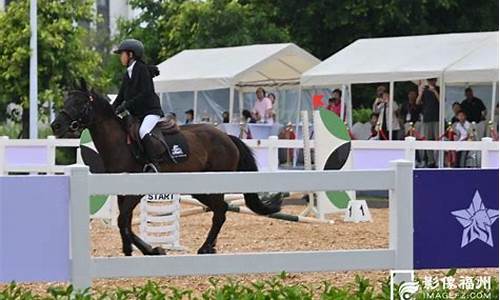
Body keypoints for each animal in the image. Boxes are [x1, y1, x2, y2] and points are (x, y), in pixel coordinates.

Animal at [52, 81, 284, 255]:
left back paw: (205, 247)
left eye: (79, 103)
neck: (120, 144)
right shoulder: (122, 192)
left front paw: (137, 249)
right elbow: (125, 223)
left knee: (220, 212)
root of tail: (227, 137)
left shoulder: (135, 192)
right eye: (66, 101)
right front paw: (151, 250)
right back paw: (209, 246)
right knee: (221, 209)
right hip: (200, 190)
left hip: (214, 184)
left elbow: (122, 220)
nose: (56, 126)